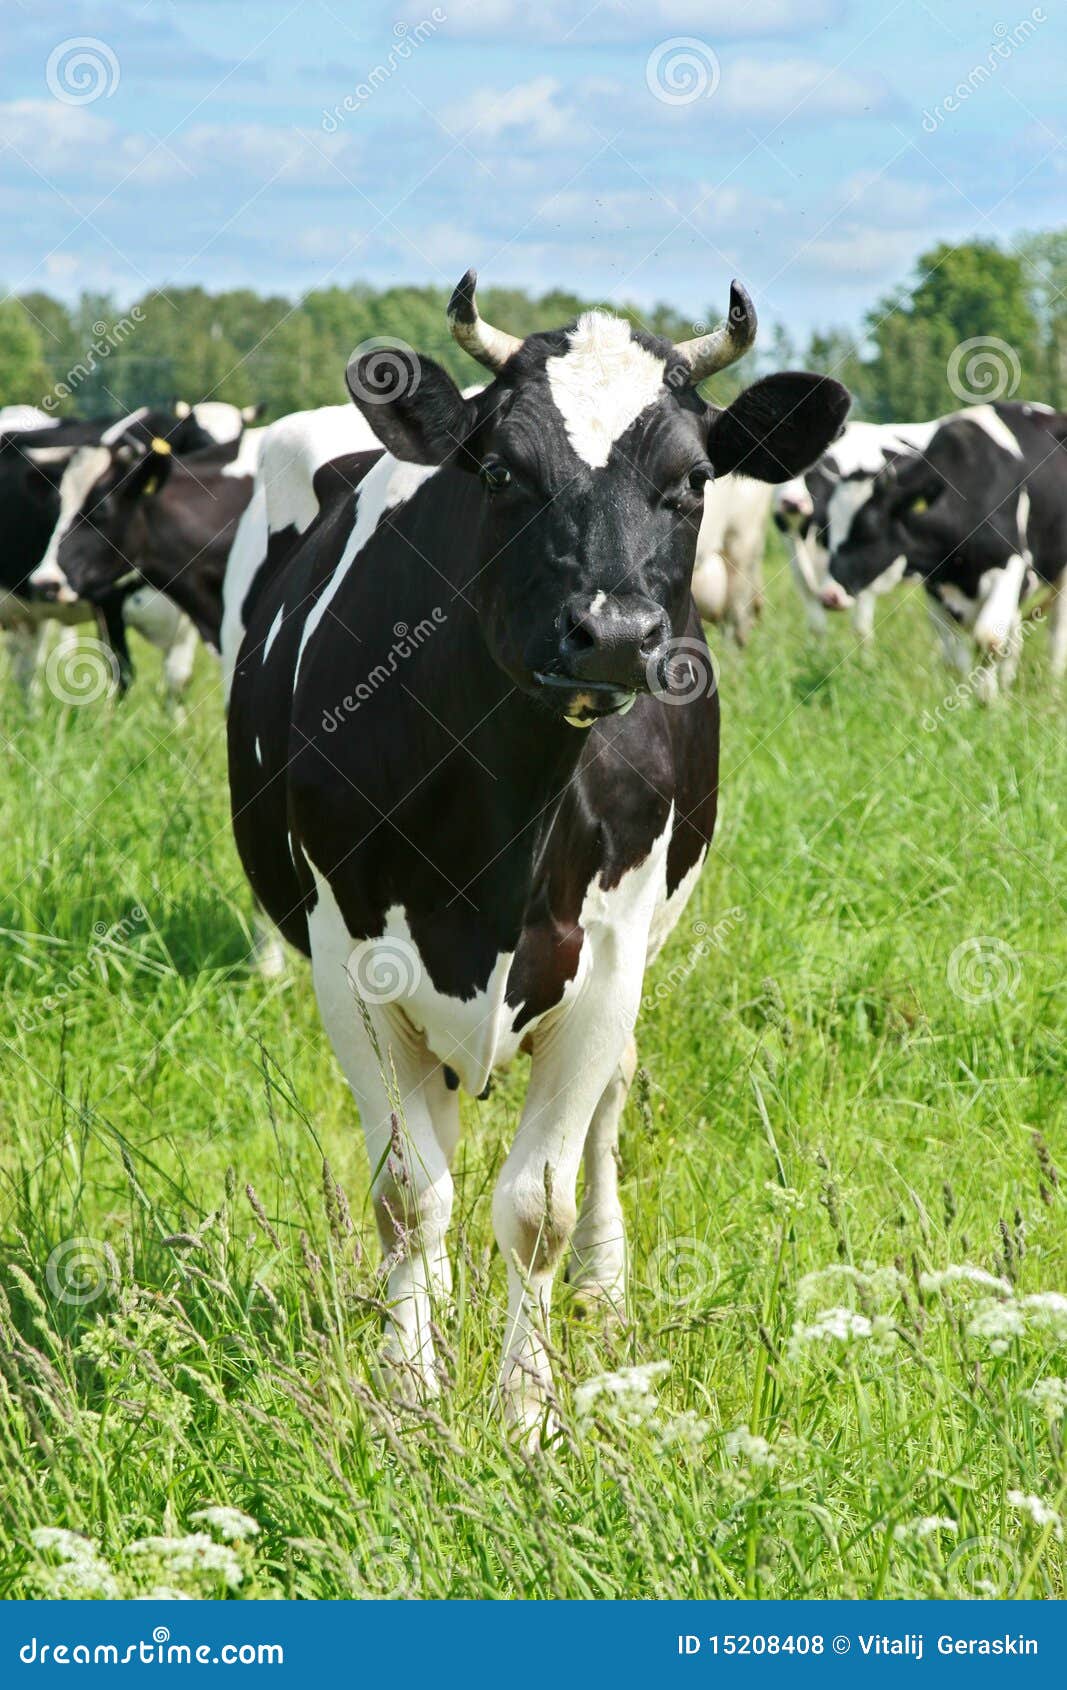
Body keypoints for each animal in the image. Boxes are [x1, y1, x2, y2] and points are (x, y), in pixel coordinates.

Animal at [772, 419, 939, 641]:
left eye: (812, 470)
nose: (791, 502)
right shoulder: (794, 555)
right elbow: (816, 622)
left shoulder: (866, 558)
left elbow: (860, 625)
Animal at [825, 402, 1067, 696]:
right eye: (829, 528)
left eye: (868, 529)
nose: (829, 594)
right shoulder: (935, 585)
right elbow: (955, 654)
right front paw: (968, 698)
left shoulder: (1012, 566)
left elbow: (988, 638)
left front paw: (987, 699)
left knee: (1056, 631)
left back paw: (1053, 684)